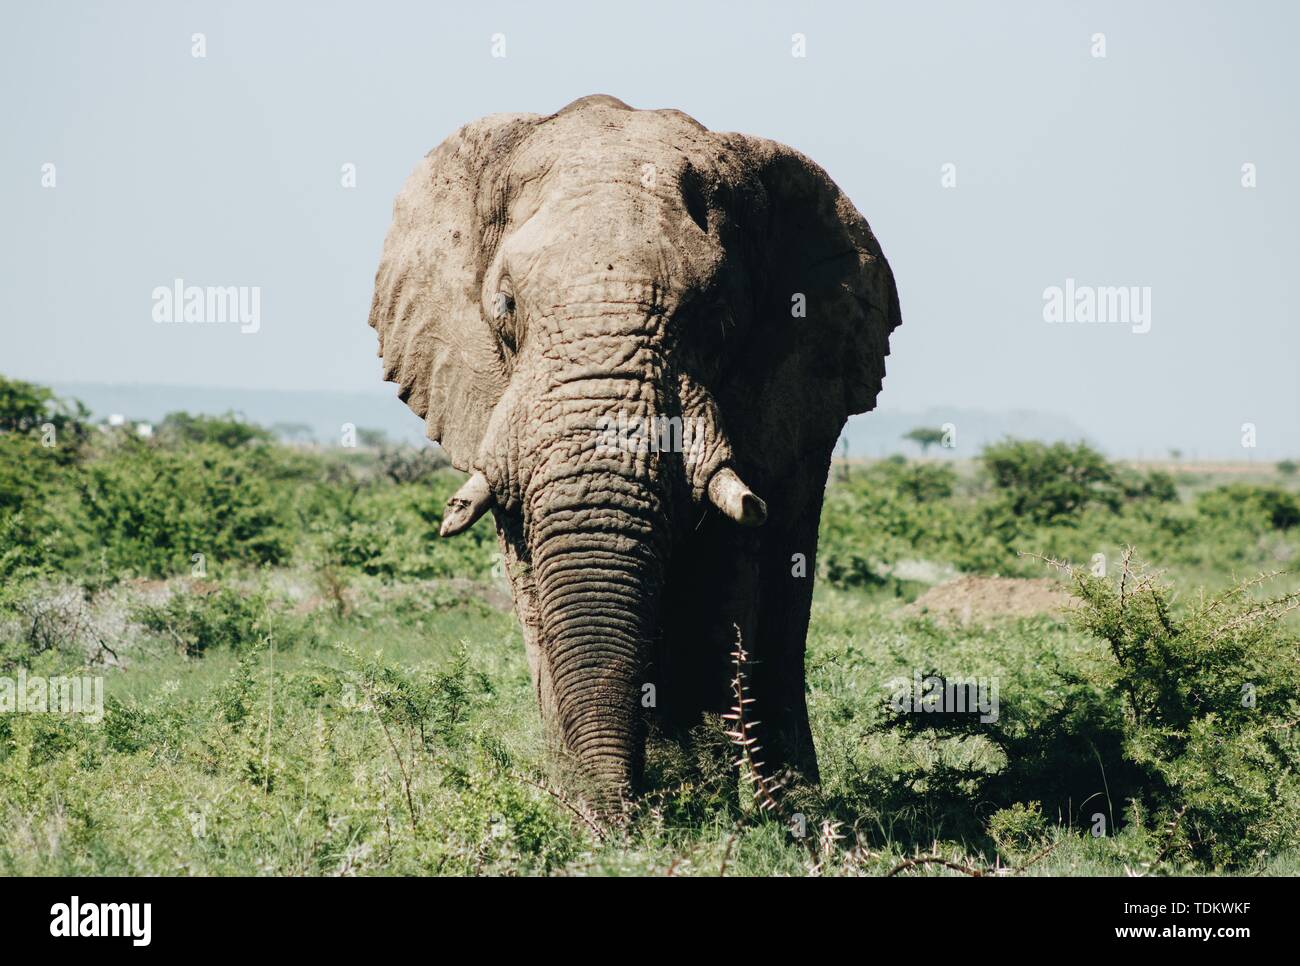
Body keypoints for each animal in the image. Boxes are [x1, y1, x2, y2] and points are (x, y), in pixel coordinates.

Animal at [368, 94, 900, 811]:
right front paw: (580, 810)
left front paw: (717, 810)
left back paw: (791, 807)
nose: (627, 817)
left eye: (718, 316)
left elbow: (730, 564)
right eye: (504, 305)